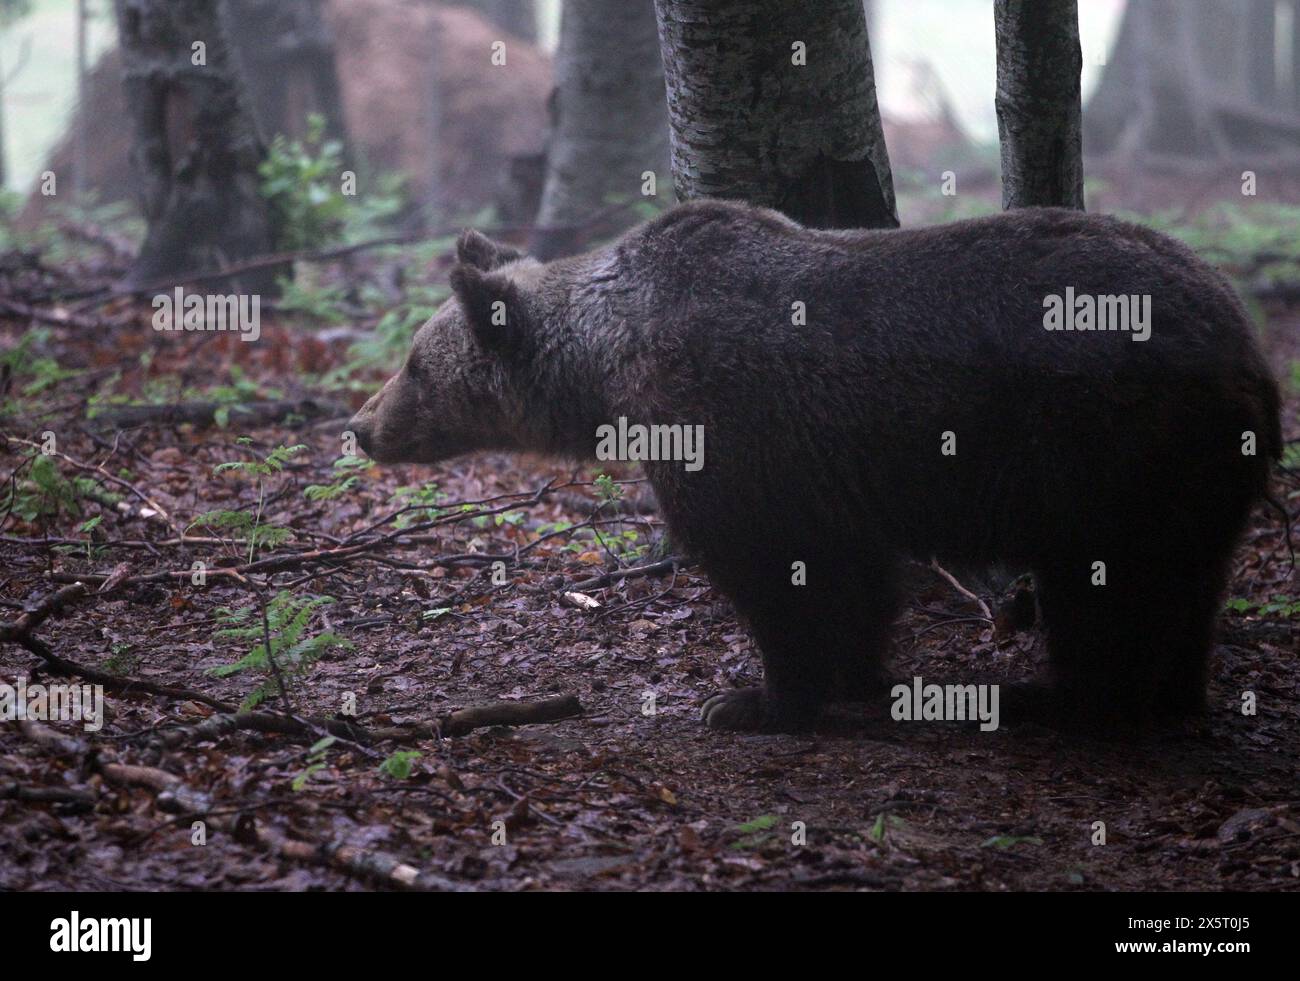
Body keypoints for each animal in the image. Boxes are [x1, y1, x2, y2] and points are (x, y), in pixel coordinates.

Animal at [348, 199, 1281, 735]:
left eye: (415, 364)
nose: (361, 425)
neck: (611, 359)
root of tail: (1247, 346)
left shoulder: (728, 433)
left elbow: (776, 574)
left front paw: (753, 699)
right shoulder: (826, 472)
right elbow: (855, 576)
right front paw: (856, 674)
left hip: (1105, 449)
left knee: (1108, 592)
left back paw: (1058, 698)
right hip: (1192, 475)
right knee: (1192, 585)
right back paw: (1176, 691)